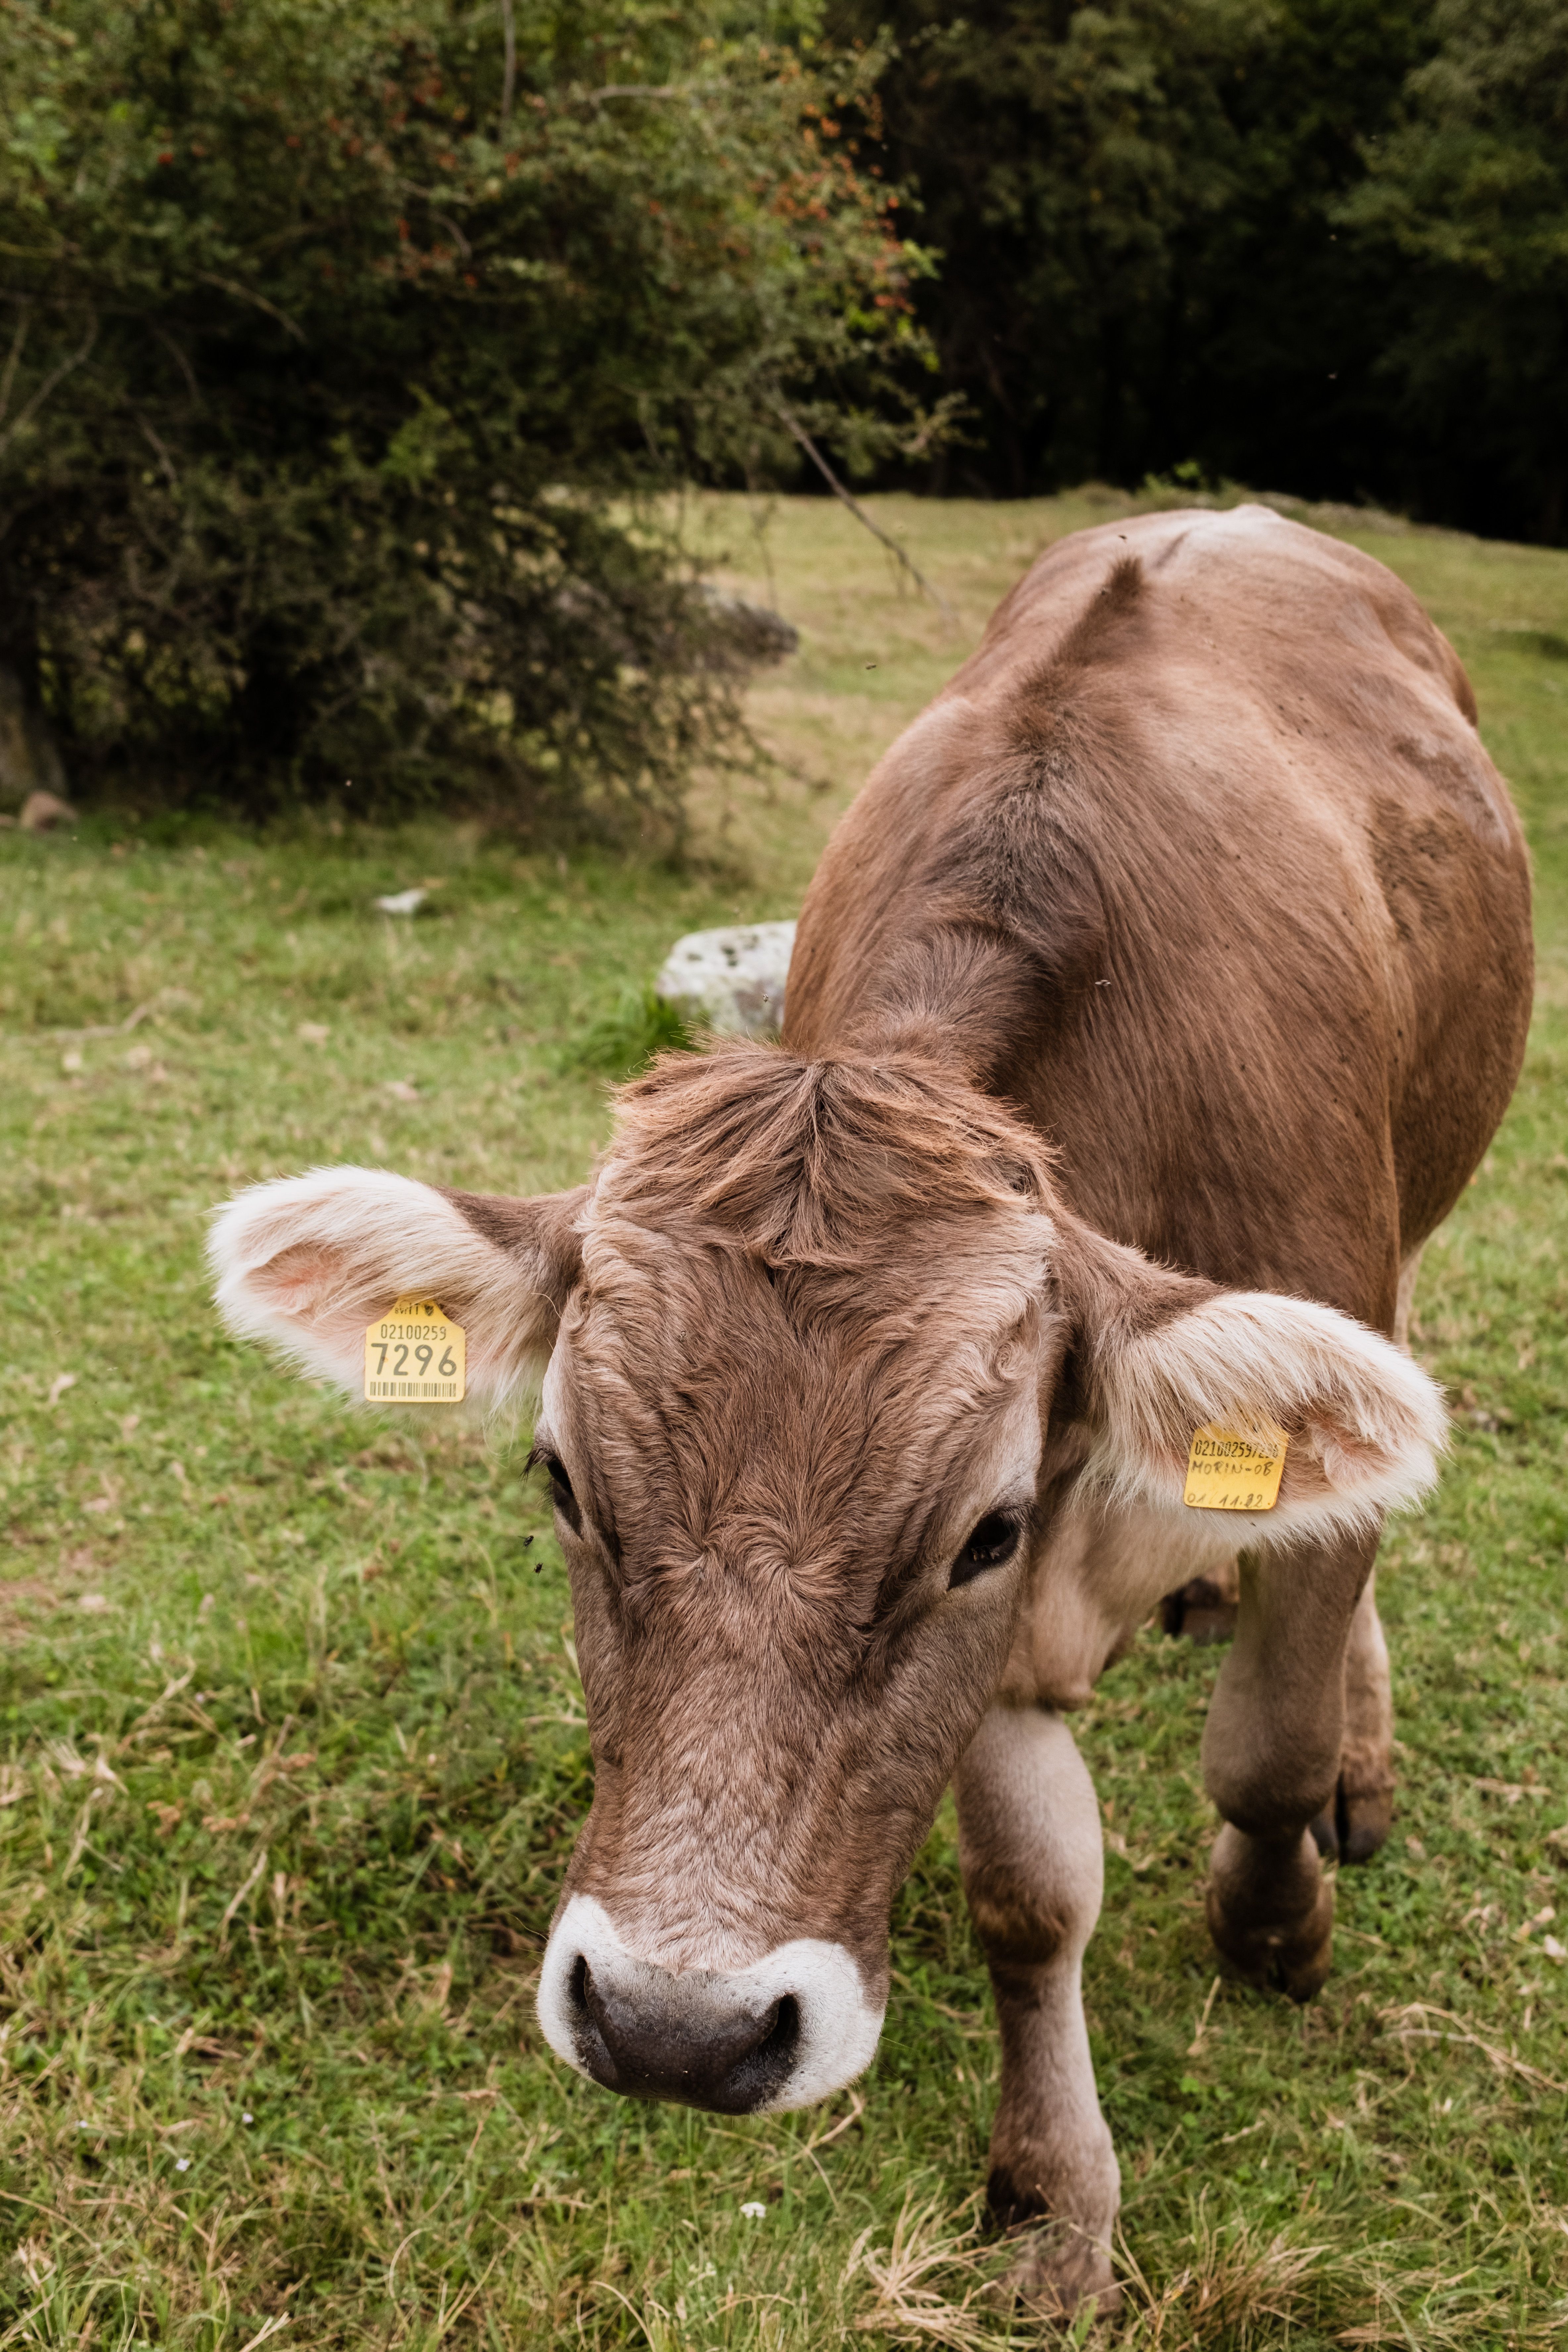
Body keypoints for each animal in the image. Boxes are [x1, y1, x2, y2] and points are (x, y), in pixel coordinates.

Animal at [209, 506, 1532, 2318]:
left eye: (981, 1528)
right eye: (560, 1480)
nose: (673, 2027)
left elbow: (1267, 1745)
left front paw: (1278, 1925)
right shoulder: (987, 1668)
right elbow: (1027, 1895)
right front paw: (1048, 2197)